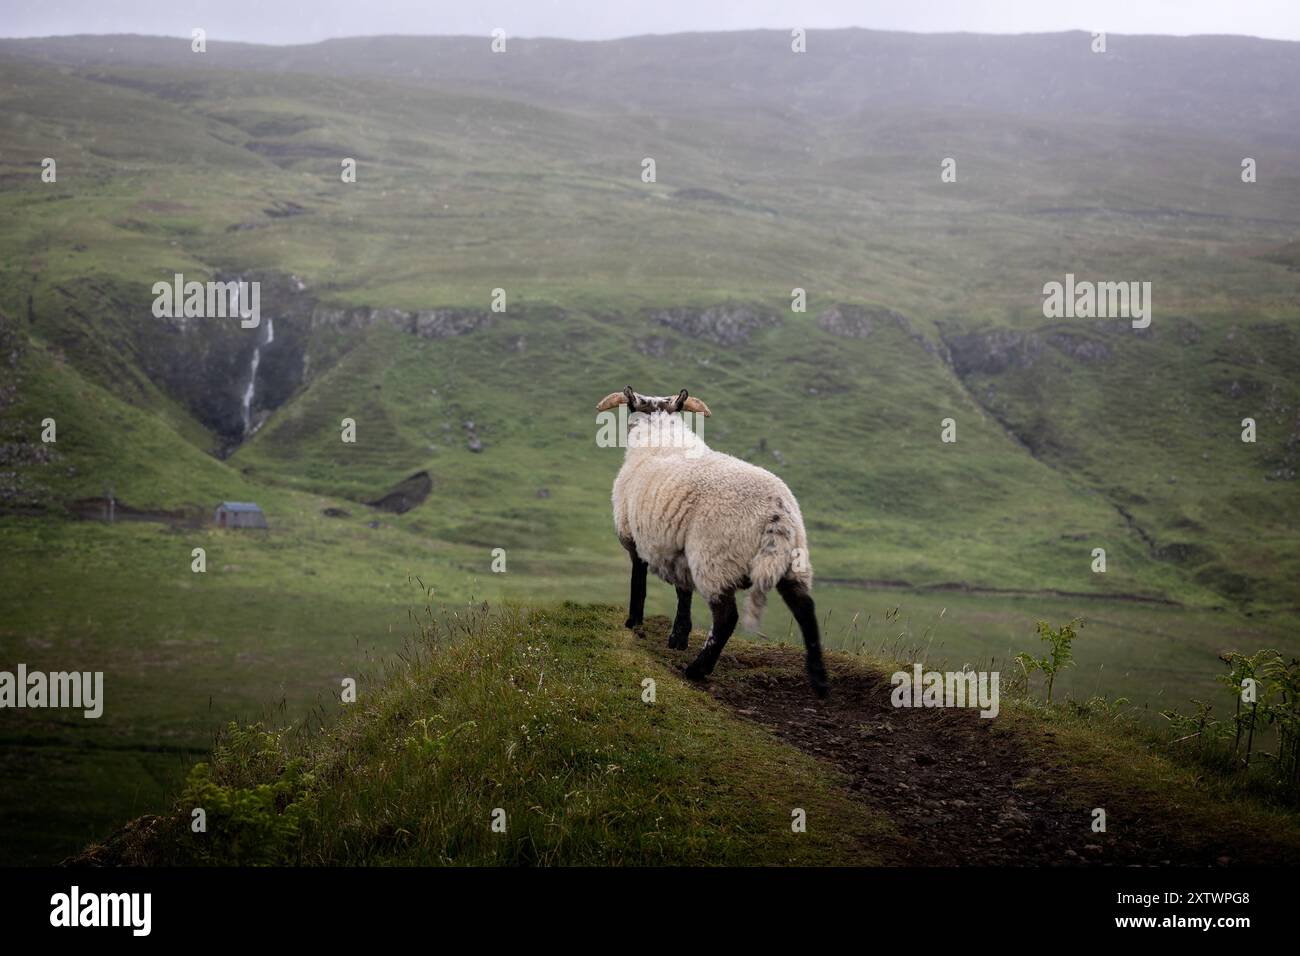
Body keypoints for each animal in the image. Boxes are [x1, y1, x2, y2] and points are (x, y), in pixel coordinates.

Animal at [596, 386, 829, 697]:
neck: (659, 436)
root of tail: (775, 512)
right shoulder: (678, 551)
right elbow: (683, 592)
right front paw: (678, 638)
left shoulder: (635, 539)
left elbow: (639, 584)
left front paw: (633, 623)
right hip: (793, 561)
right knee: (805, 609)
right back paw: (819, 679)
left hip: (715, 558)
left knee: (726, 618)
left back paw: (697, 669)